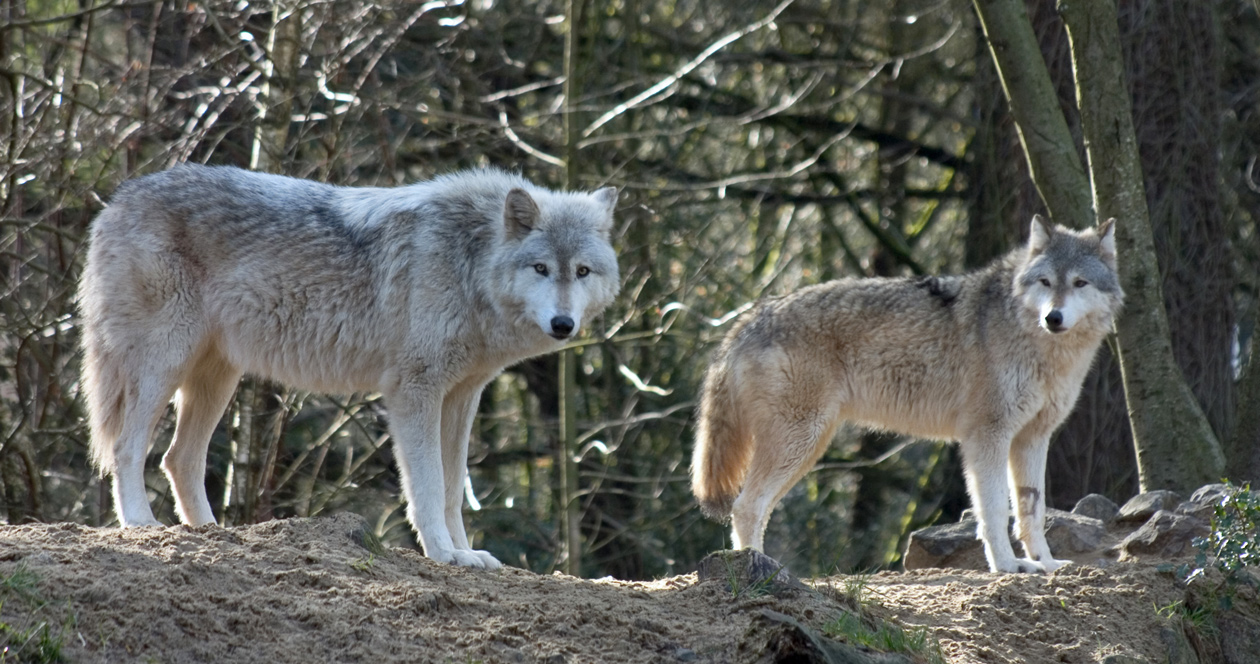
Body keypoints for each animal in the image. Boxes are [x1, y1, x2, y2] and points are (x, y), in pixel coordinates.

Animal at [80, 164, 620, 569]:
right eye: (541, 268)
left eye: (582, 272)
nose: (564, 323)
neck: (471, 262)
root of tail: (116, 200)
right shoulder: (414, 393)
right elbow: (428, 485)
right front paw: (443, 553)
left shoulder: (463, 397)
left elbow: (452, 488)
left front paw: (466, 553)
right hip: (163, 365)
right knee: (127, 447)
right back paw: (141, 524)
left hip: (217, 380)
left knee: (178, 458)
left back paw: (212, 532)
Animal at [691, 217, 1122, 574]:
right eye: (1046, 282)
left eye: (1079, 283)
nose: (1053, 318)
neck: (1041, 346)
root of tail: (749, 318)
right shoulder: (987, 436)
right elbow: (996, 510)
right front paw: (1006, 566)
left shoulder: (1032, 438)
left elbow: (1032, 509)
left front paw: (1044, 563)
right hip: (799, 442)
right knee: (745, 507)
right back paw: (759, 566)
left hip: (806, 449)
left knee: (755, 507)